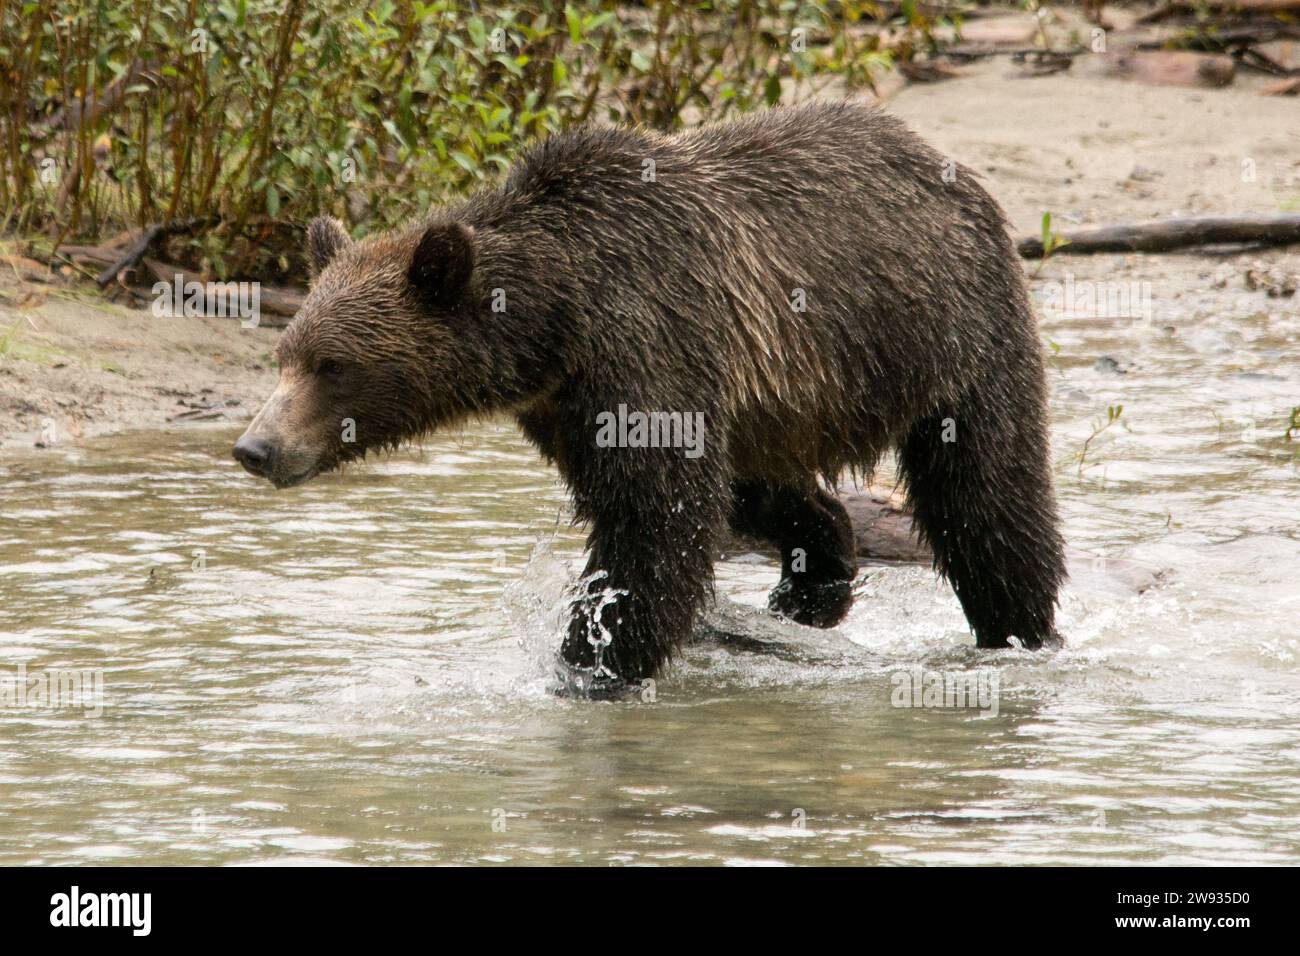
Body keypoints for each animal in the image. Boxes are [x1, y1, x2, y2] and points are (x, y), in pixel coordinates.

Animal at [233, 100, 1067, 698]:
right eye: (284, 357)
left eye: (333, 365)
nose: (256, 448)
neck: (558, 322)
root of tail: (949, 165)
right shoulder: (574, 406)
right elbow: (683, 496)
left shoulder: (649, 337)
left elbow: (654, 520)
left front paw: (591, 662)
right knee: (781, 488)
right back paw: (809, 587)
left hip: (953, 336)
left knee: (987, 492)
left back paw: (1020, 627)